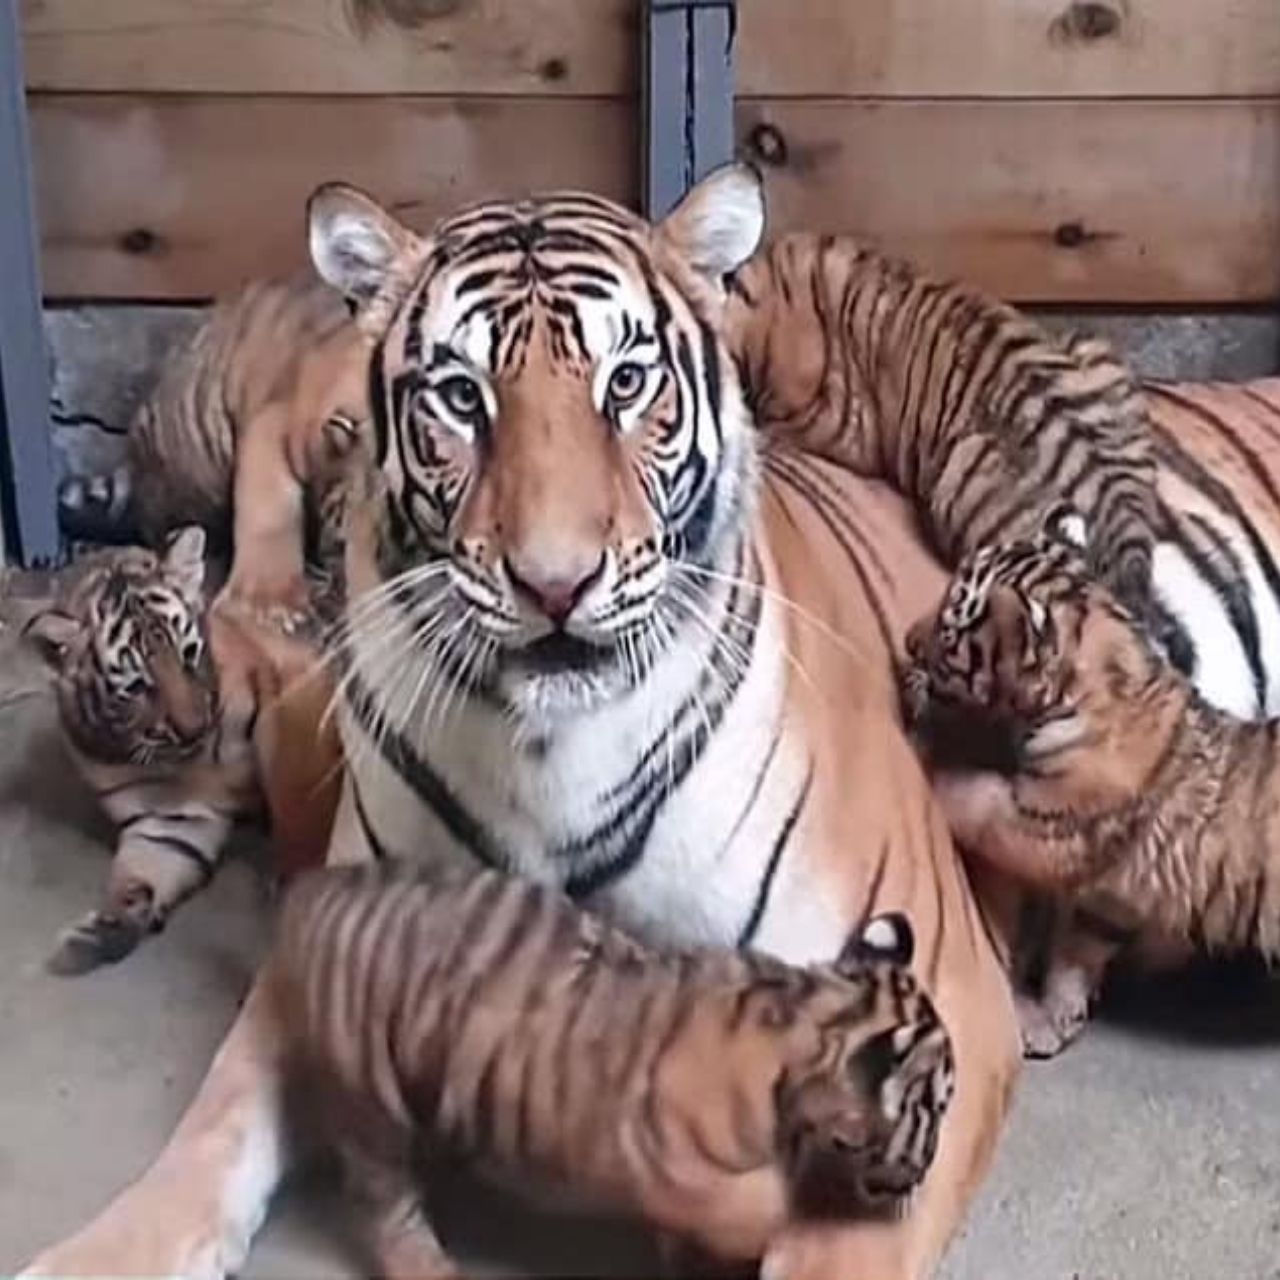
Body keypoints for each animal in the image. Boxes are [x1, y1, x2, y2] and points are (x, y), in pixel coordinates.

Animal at [22, 526, 343, 975]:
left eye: (189, 652)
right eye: (136, 686)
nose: (195, 728)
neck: (192, 758)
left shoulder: (292, 705)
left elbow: (301, 809)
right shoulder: (169, 821)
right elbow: (141, 875)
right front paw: (97, 932)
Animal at [270, 859, 954, 1279]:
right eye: (938, 1109)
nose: (925, 1173)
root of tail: (316, 887)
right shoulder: (675, 1174)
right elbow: (751, 1210)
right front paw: (786, 1219)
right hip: (368, 1095)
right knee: (384, 1200)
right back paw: (429, 1266)